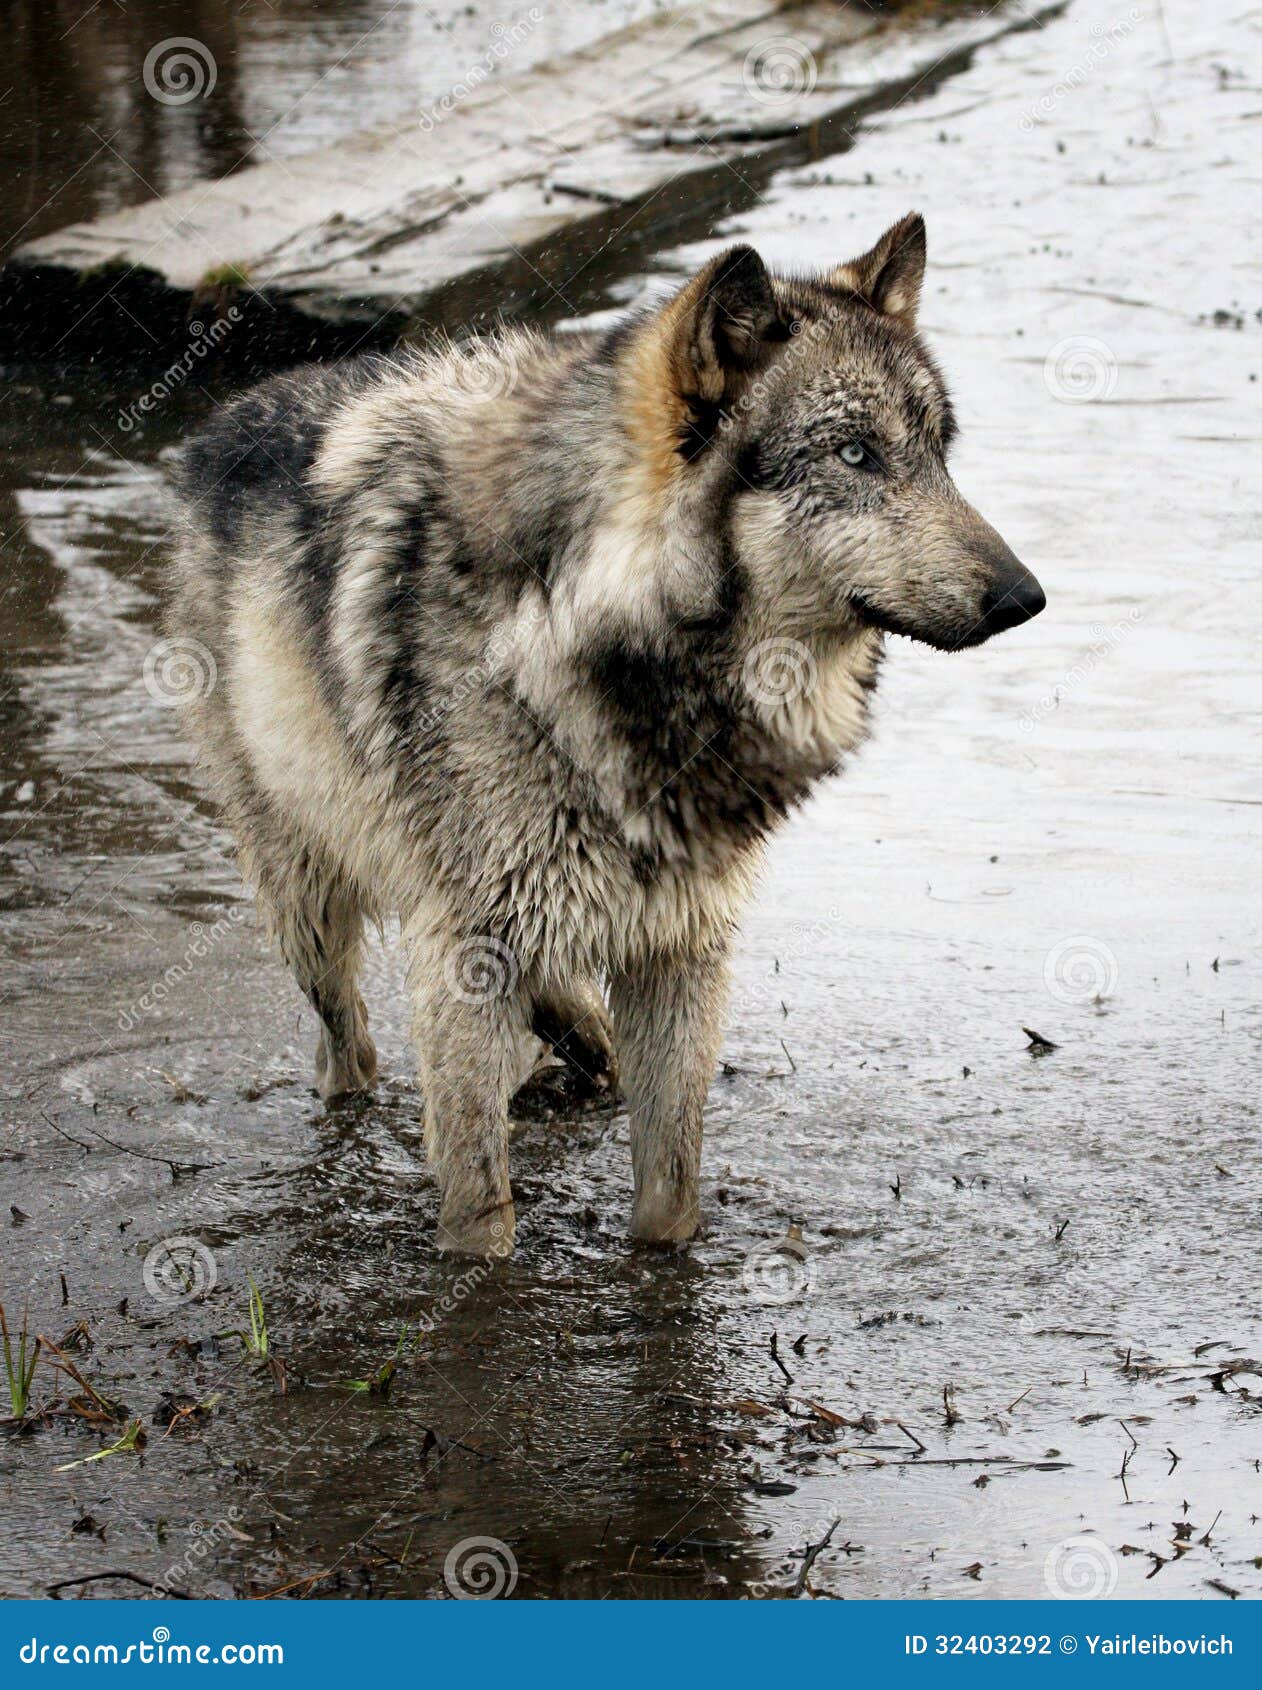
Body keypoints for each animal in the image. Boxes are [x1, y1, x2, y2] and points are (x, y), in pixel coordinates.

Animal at [169, 213, 1044, 1257]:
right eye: (855, 456)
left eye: (939, 452)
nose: (1025, 598)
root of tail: (232, 413)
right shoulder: (466, 954)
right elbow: (480, 1205)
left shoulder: (680, 952)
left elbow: (671, 1191)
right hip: (308, 902)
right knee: (352, 1056)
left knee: (568, 1022)